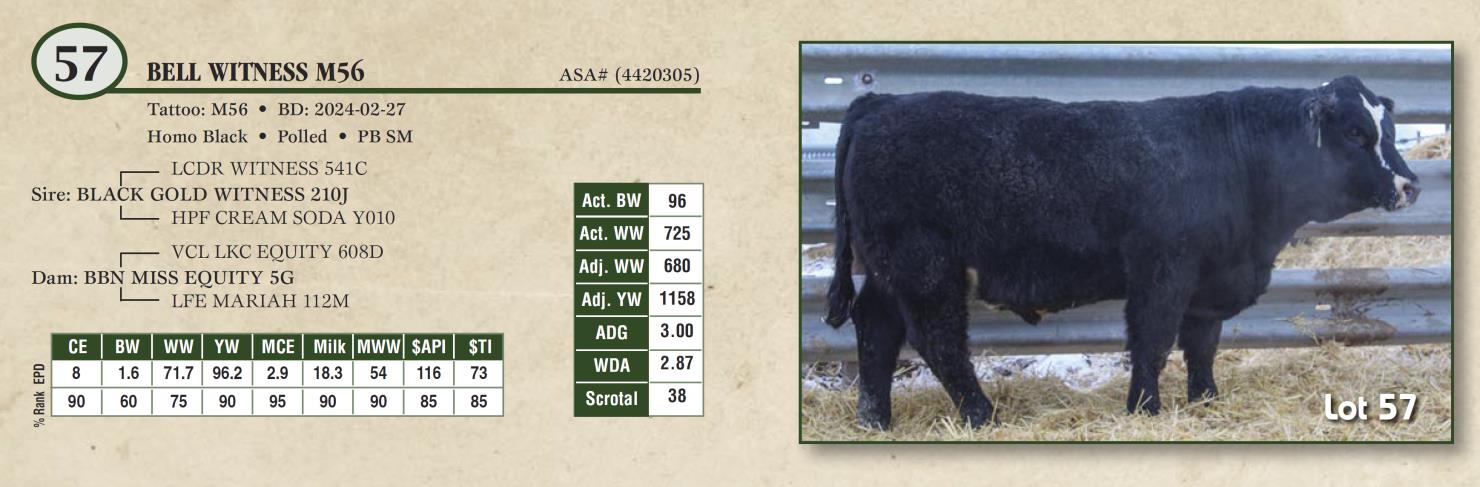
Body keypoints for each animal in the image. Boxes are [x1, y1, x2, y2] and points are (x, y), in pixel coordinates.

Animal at [823, 75, 1421, 429]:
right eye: (1354, 133)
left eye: (1389, 129)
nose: (1410, 185)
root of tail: (879, 103)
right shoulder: (1162, 269)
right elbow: (1153, 342)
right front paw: (1145, 409)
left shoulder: (1209, 277)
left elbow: (1202, 344)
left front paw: (1206, 401)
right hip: (923, 267)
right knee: (938, 341)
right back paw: (980, 415)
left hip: (888, 269)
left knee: (876, 329)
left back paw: (875, 420)